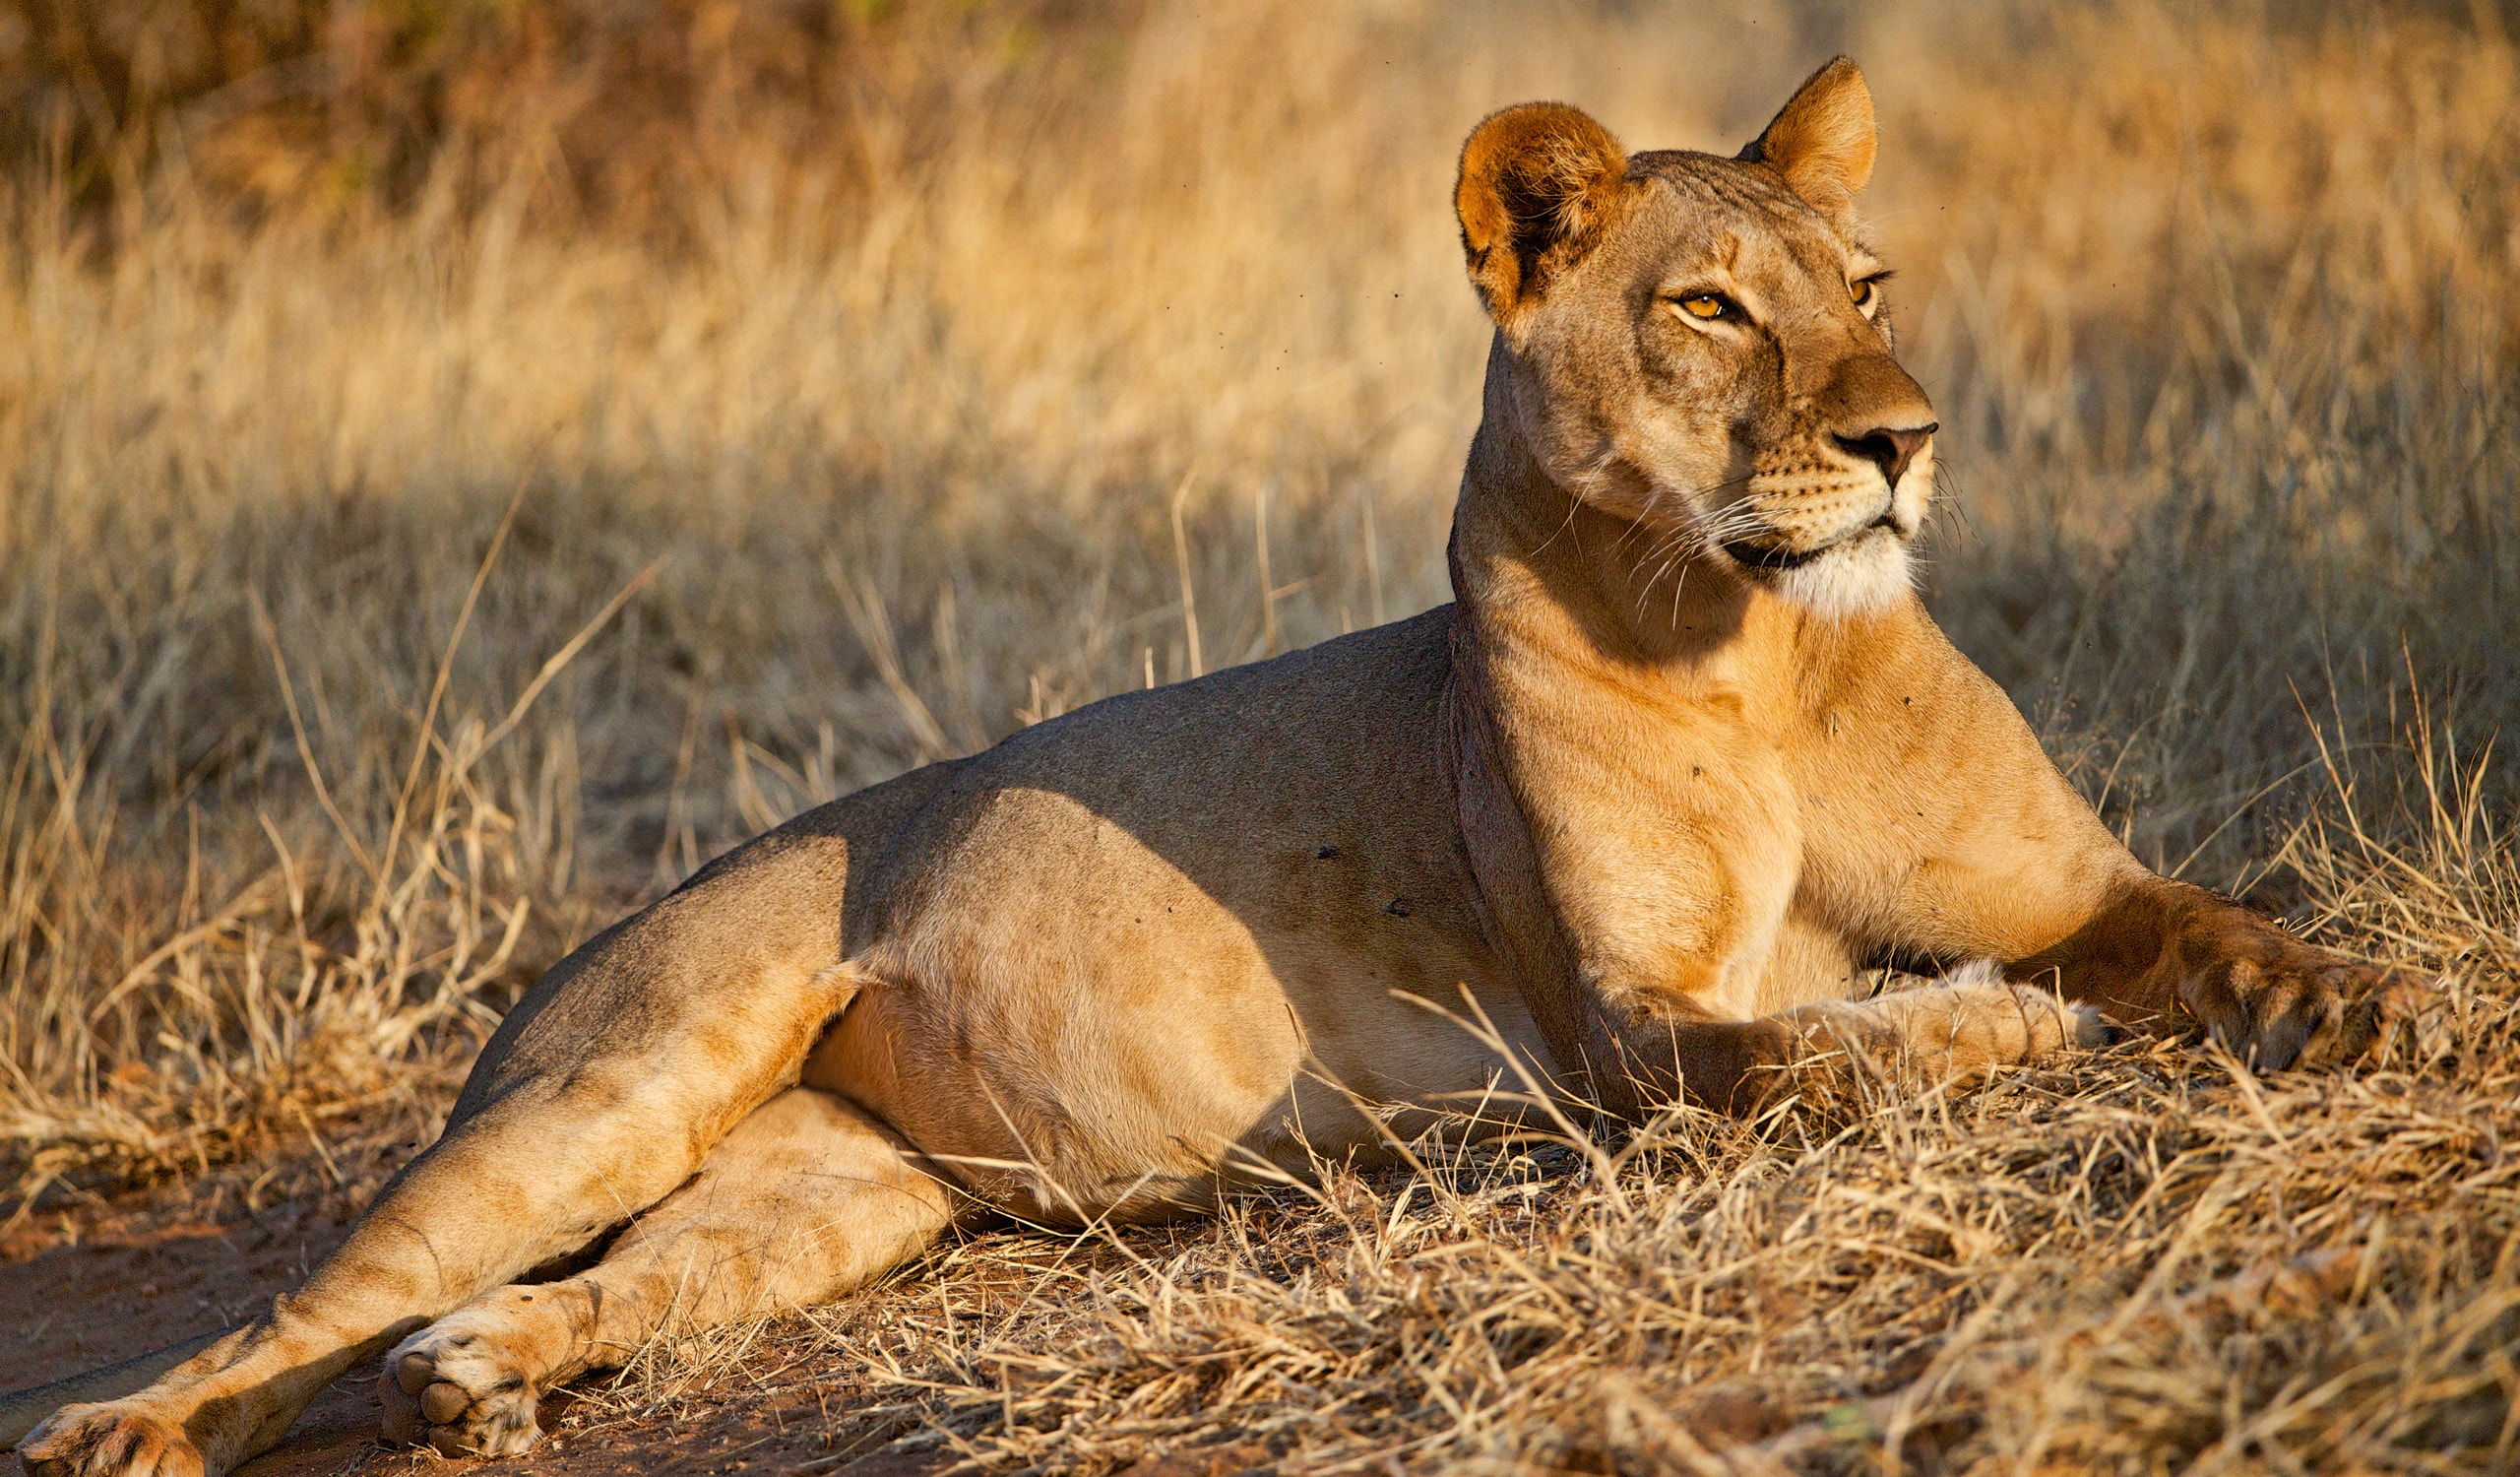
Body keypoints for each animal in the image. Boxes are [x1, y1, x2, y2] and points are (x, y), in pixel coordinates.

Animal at [10, 58, 2420, 1476]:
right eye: (1711, 311)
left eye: (1867, 281)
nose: (1906, 438)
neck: (1763, 655)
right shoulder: (1624, 1031)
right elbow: (1821, 1055)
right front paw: (1996, 1034)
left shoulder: (2072, 883)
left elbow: (2207, 925)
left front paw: (2360, 1003)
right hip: (618, 1072)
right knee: (313, 1304)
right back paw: (126, 1430)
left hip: (831, 1198)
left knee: (615, 1289)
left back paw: (481, 1382)